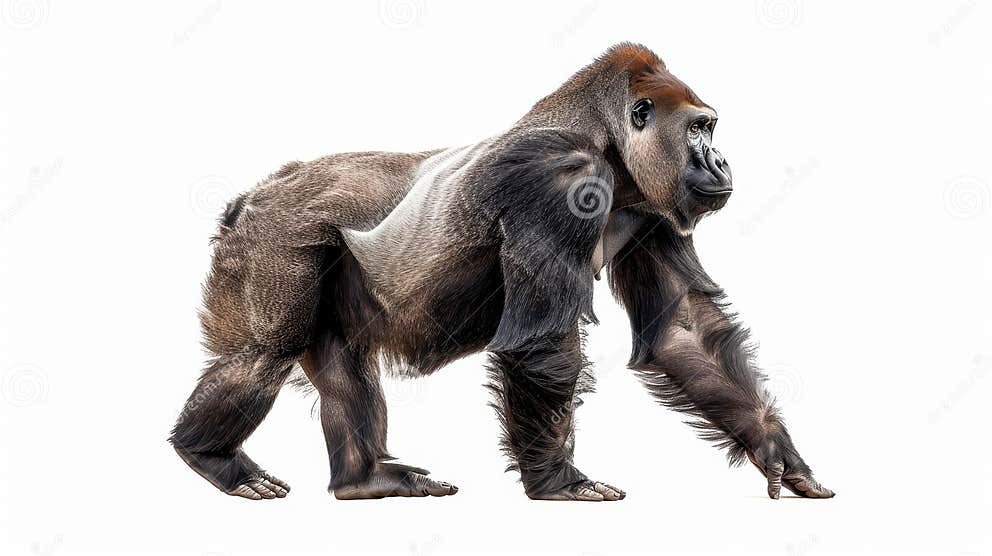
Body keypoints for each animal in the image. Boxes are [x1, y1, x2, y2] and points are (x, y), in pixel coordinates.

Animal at [169, 43, 834, 502]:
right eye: (699, 128)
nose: (719, 161)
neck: (604, 139)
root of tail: (252, 195)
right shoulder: (558, 182)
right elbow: (538, 344)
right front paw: (559, 481)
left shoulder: (654, 207)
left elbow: (683, 333)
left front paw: (773, 447)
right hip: (272, 235)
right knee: (262, 352)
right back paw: (209, 456)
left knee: (340, 364)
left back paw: (365, 480)